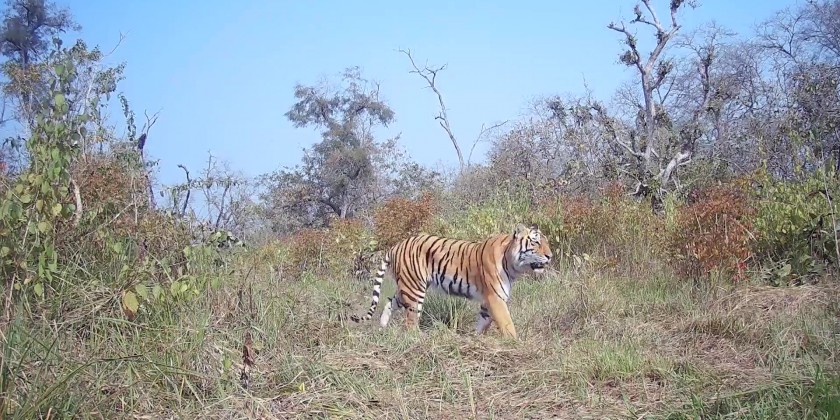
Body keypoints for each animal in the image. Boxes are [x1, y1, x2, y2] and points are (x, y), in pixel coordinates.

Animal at [349, 223, 553, 339]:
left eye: (547, 242)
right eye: (535, 243)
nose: (550, 256)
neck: (512, 265)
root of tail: (396, 245)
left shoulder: (488, 301)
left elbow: (483, 322)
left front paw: (475, 340)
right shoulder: (495, 298)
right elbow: (507, 324)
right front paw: (515, 343)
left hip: (407, 286)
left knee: (390, 301)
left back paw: (382, 326)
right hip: (415, 290)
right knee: (410, 321)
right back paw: (418, 339)